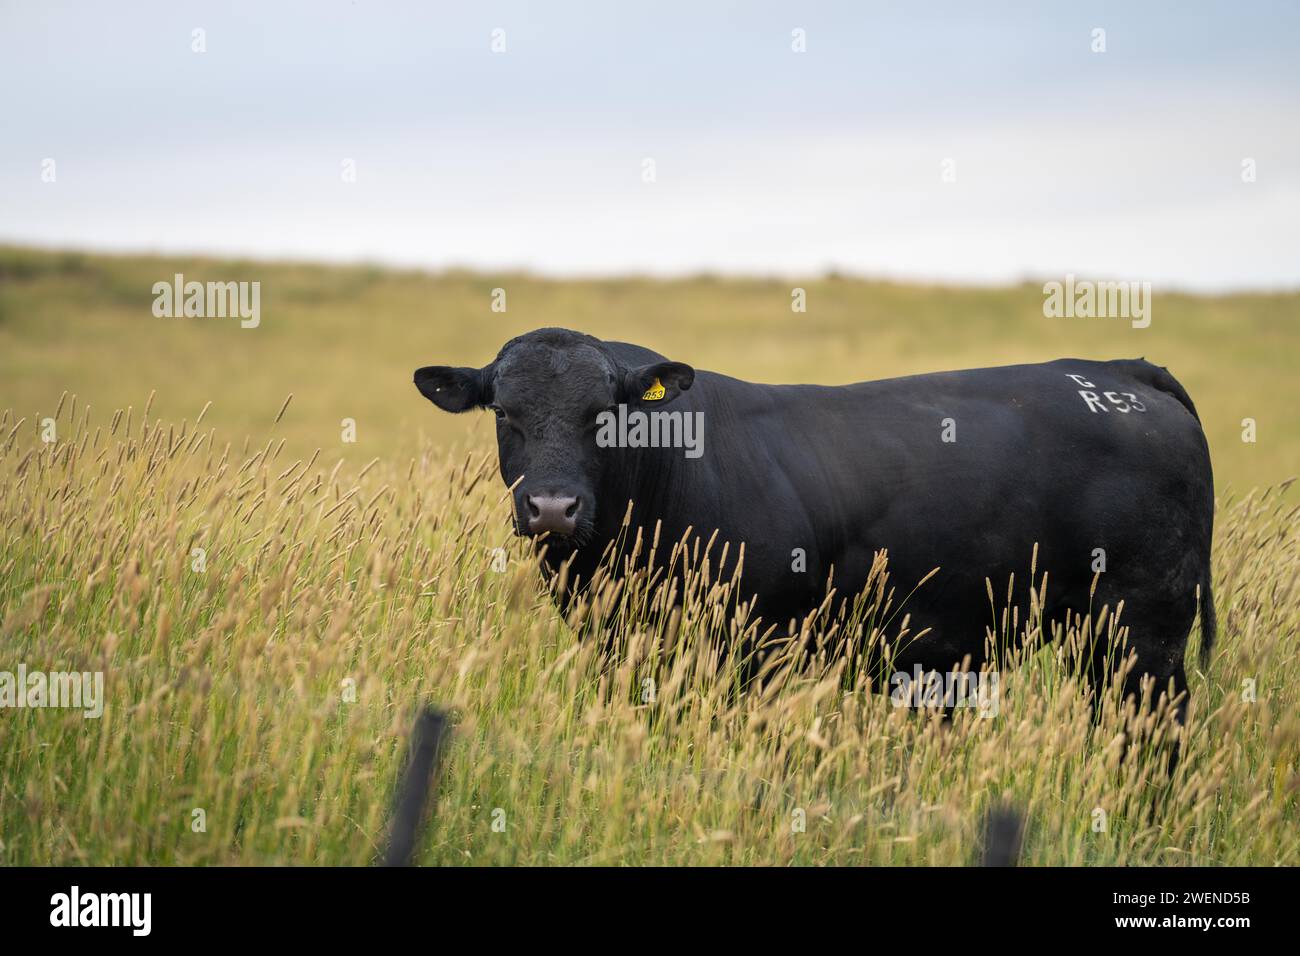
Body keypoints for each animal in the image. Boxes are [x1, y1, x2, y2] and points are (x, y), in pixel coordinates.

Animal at [414, 327, 1215, 727]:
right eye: (504, 411)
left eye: (604, 413)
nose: (552, 507)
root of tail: (1119, 368)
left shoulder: (758, 644)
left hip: (1146, 627)